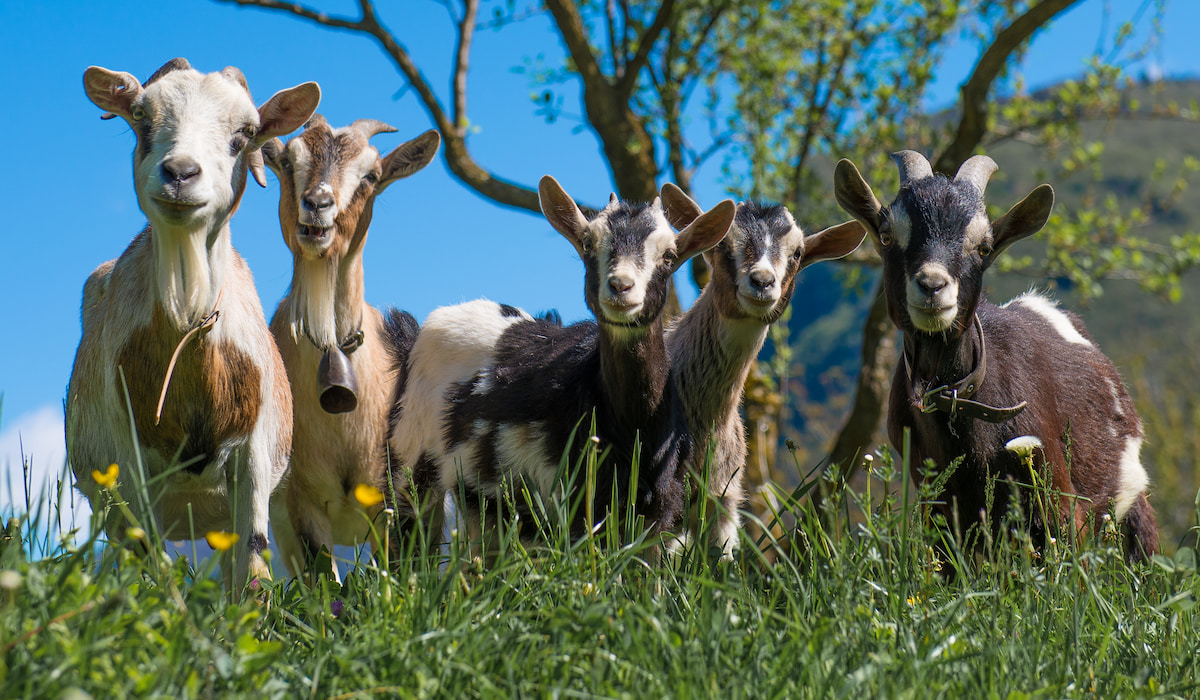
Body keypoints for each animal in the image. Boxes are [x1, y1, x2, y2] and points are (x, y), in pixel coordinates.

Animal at [66, 58, 320, 589]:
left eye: (245, 133)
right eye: (141, 116)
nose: (181, 172)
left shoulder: (256, 460)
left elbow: (252, 567)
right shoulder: (129, 464)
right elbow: (152, 569)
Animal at [262, 116, 440, 577]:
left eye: (372, 176)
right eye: (288, 161)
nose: (317, 204)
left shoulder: (392, 497)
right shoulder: (301, 505)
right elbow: (325, 580)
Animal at [385, 177, 735, 552]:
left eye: (669, 256)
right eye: (588, 243)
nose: (620, 286)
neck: (633, 429)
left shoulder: (660, 510)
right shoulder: (579, 506)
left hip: (485, 504)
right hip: (410, 458)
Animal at [833, 150, 1158, 563]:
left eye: (983, 248)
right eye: (888, 236)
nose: (932, 285)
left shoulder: (1058, 503)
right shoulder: (939, 506)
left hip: (1131, 504)